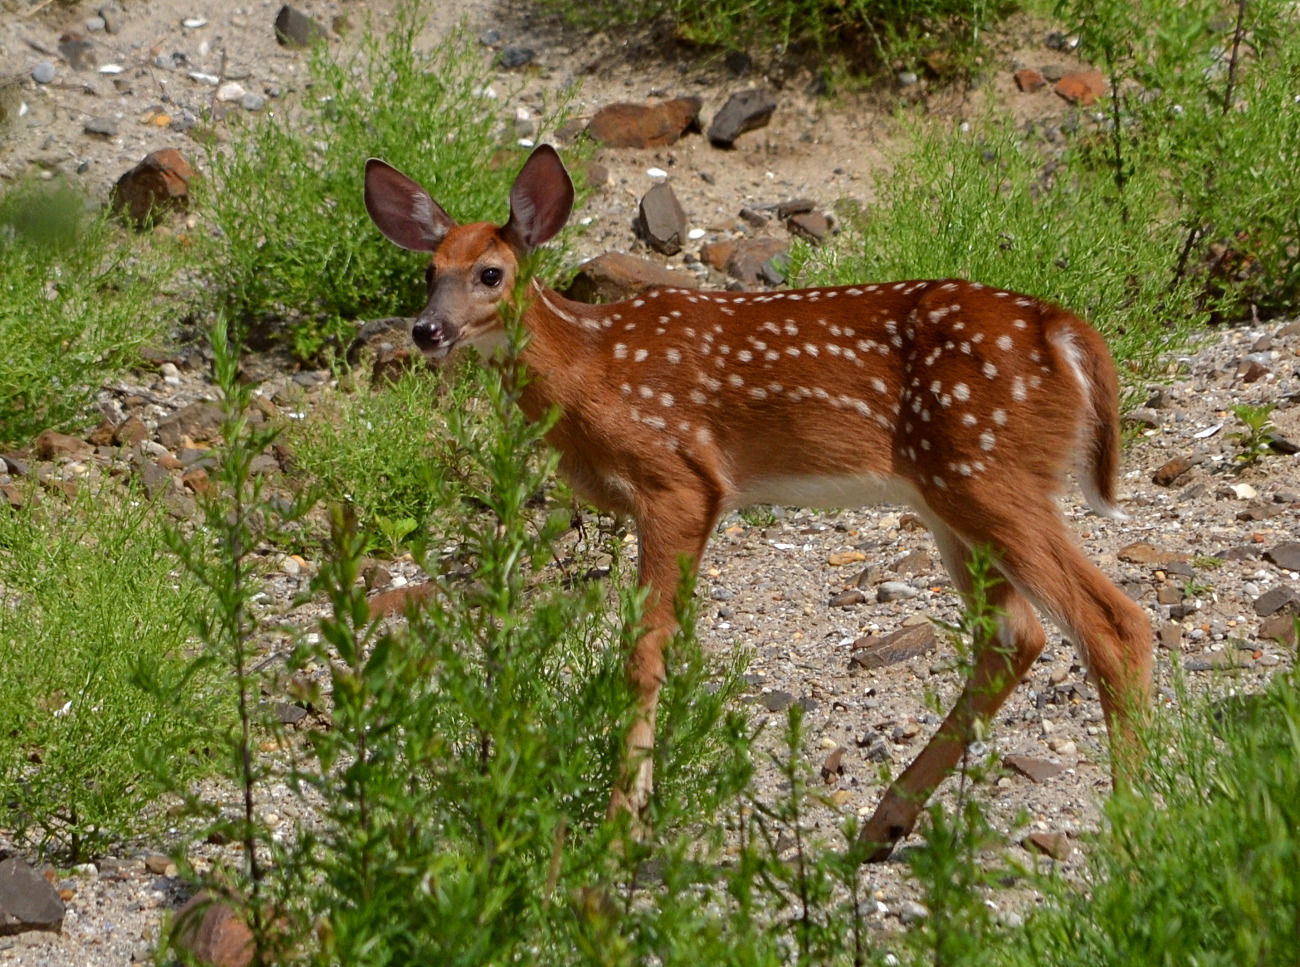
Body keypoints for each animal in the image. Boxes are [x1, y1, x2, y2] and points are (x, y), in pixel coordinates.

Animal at [362, 143, 1152, 862]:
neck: (592, 370)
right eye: (428, 272)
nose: (426, 330)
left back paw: (1131, 830)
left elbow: (644, 654)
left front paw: (623, 826)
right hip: (952, 497)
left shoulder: (678, 479)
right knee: (1017, 634)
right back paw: (884, 824)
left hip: (991, 474)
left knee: (1112, 620)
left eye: (490, 273)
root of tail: (1070, 333)